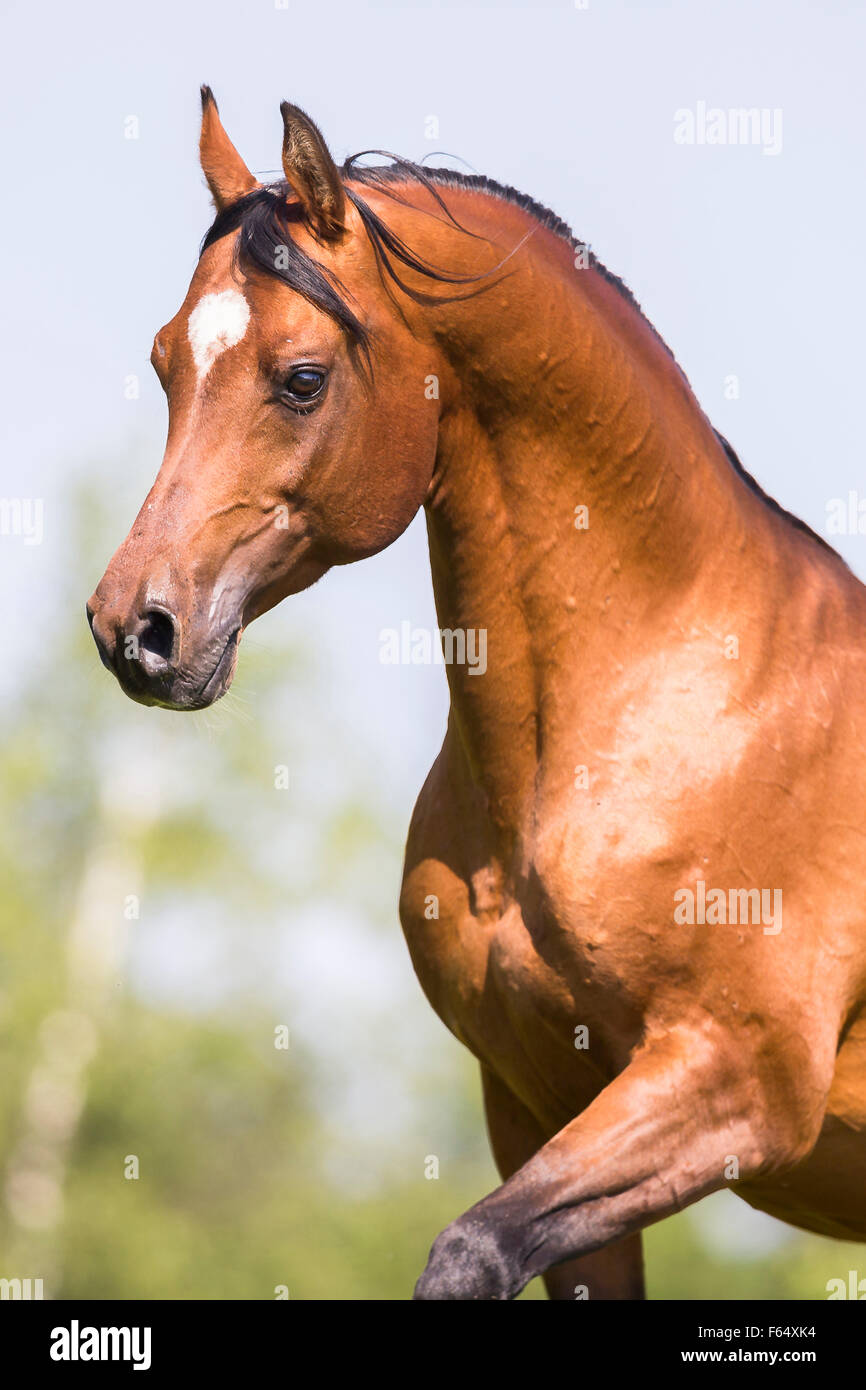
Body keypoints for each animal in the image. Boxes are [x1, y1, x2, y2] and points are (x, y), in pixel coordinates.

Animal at [87, 88, 866, 1300]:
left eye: (301, 378)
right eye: (168, 361)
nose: (137, 629)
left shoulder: (737, 1081)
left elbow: (466, 1252)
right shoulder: (536, 1104)